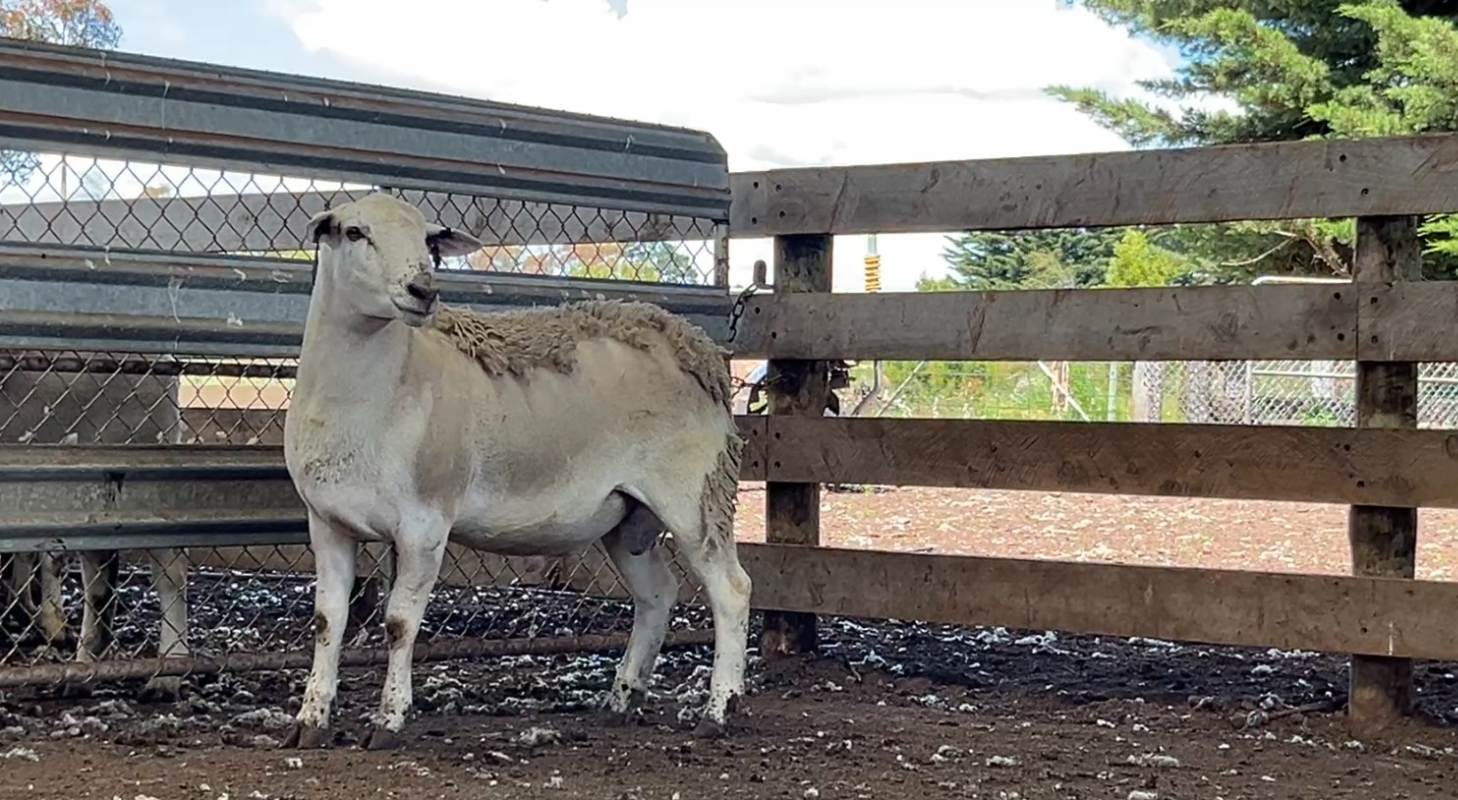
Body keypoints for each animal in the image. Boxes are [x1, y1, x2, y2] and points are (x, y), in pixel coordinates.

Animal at [281, 192, 751, 750]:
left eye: (428, 242)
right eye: (355, 232)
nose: (423, 291)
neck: (370, 393)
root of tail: (693, 343)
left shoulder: (424, 523)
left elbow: (399, 623)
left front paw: (388, 720)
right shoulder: (326, 521)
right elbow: (326, 621)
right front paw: (311, 720)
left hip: (694, 492)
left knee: (731, 590)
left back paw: (719, 709)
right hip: (627, 514)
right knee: (657, 594)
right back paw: (621, 700)